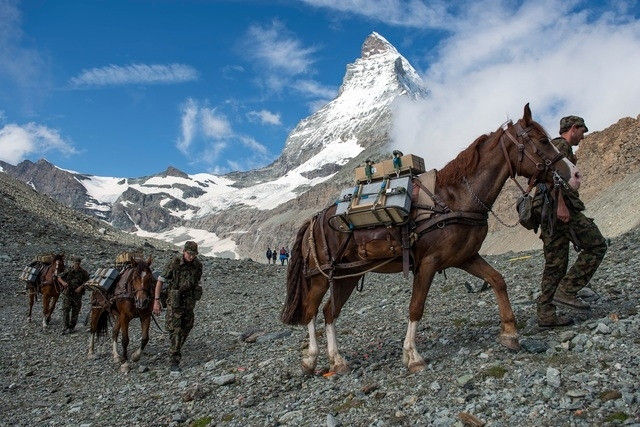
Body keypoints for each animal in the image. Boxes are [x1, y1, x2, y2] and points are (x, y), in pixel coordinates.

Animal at [281, 103, 582, 374]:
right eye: (542, 140)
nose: (576, 174)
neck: (456, 198)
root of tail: (315, 218)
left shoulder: (465, 257)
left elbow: (498, 280)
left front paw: (510, 333)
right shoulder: (428, 263)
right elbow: (416, 307)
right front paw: (413, 356)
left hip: (348, 275)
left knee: (328, 312)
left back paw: (336, 361)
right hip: (321, 275)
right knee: (310, 310)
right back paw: (311, 359)